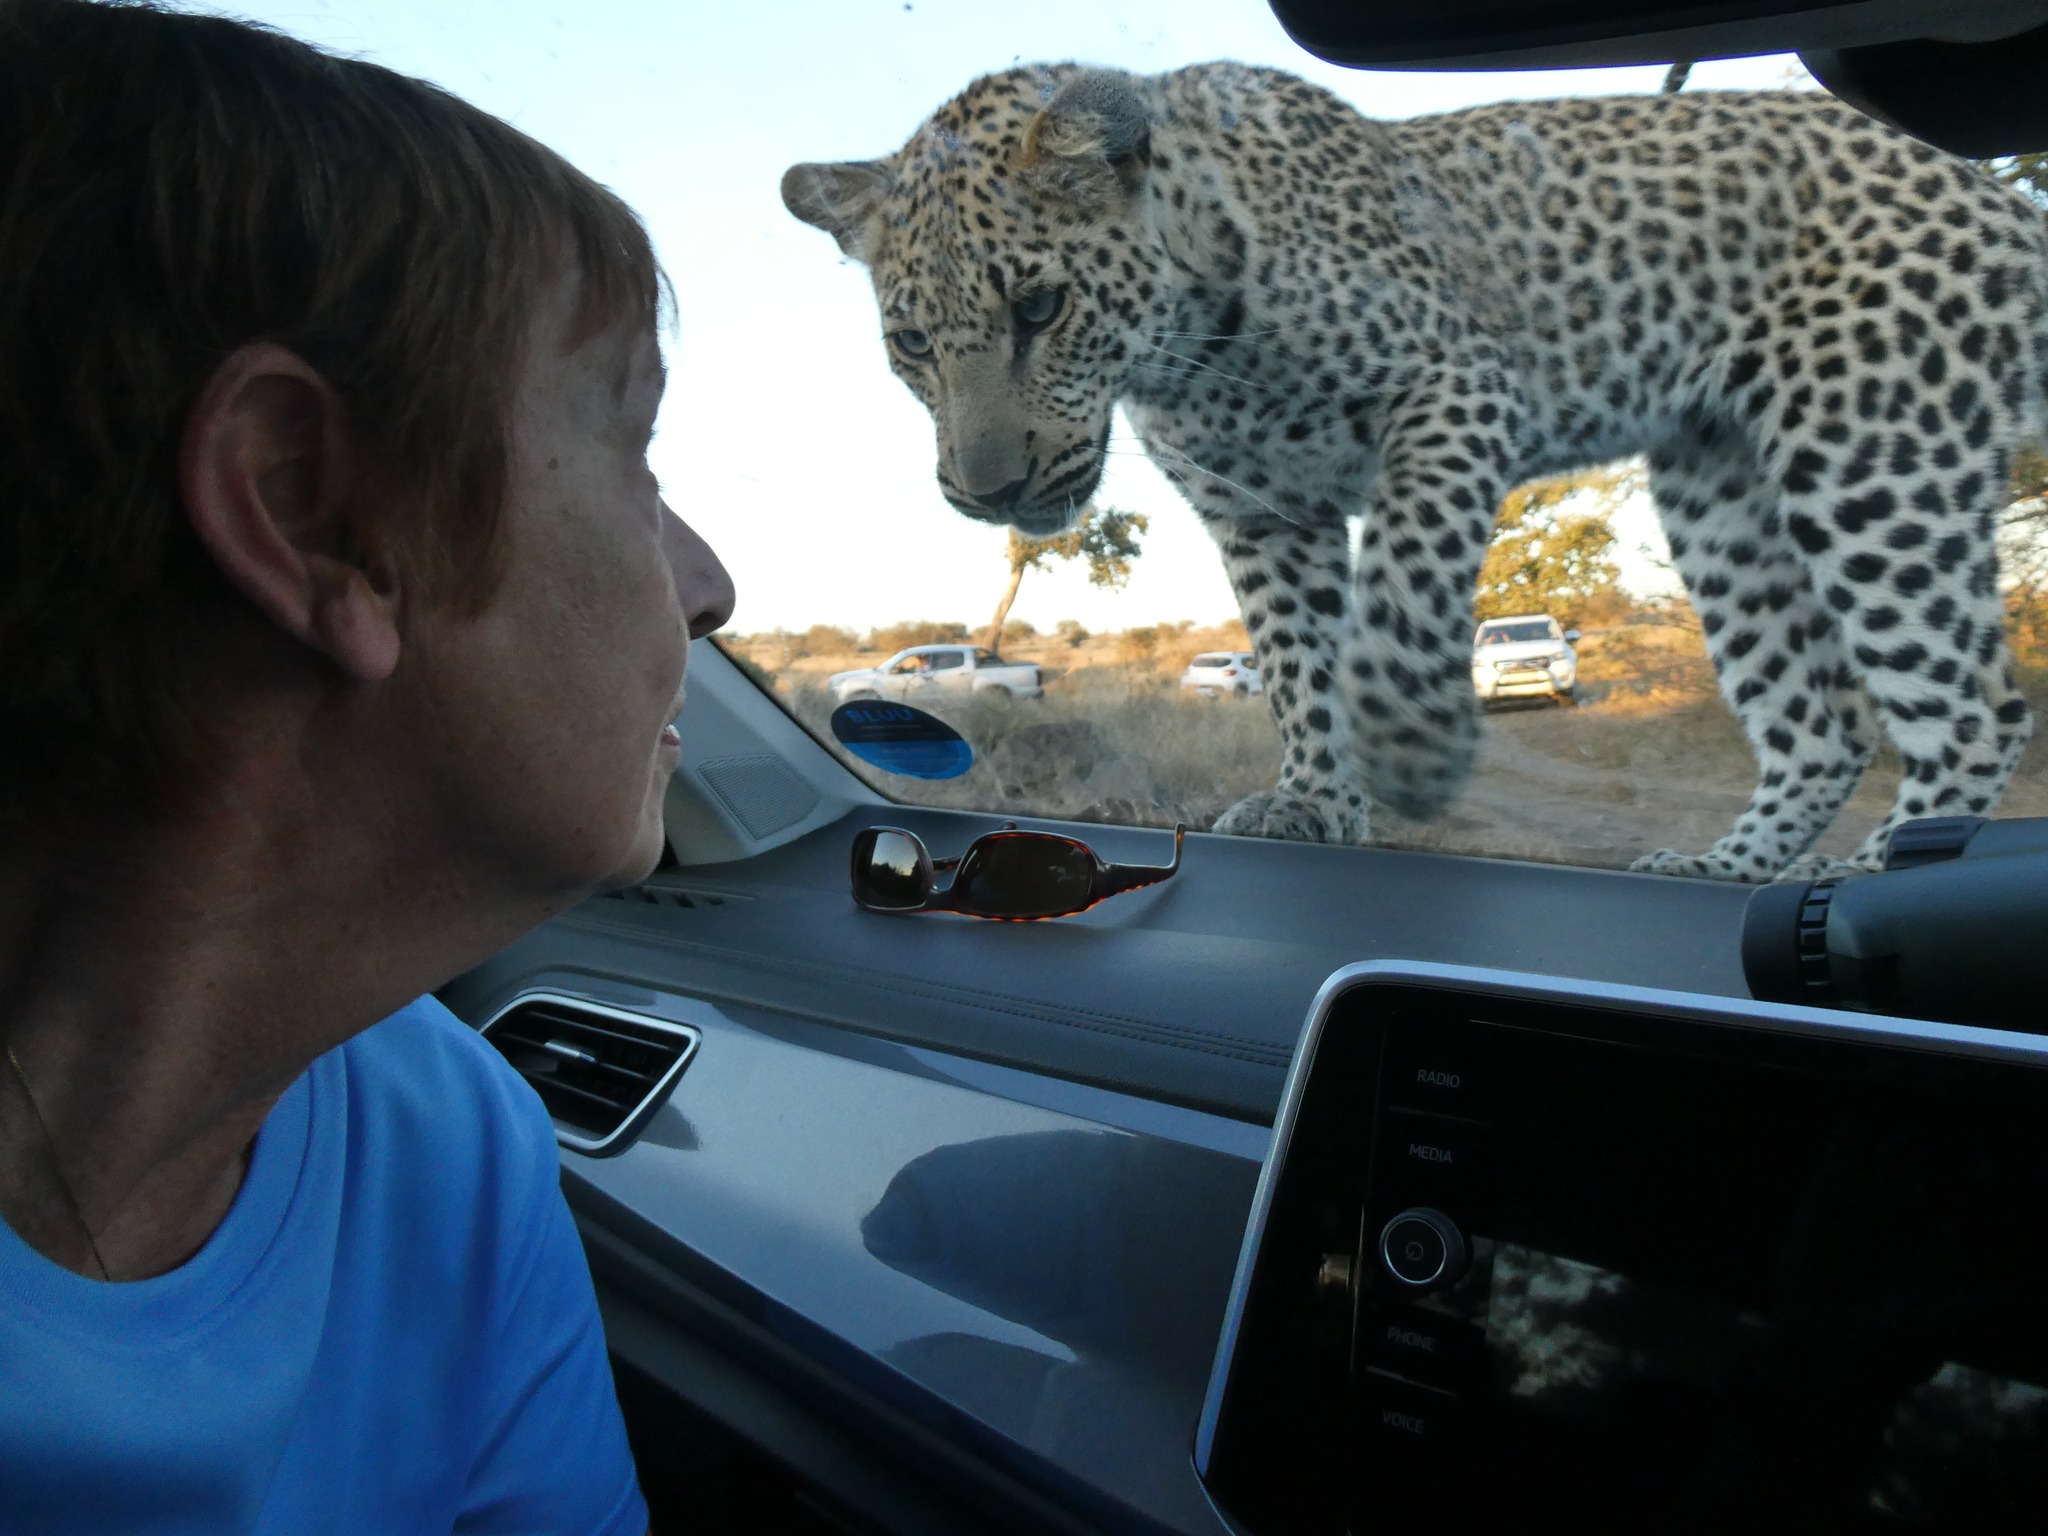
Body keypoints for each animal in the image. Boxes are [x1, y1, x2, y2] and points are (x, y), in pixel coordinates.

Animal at [783, 62, 2048, 880]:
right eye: (909, 343)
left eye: (1040, 307)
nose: (986, 491)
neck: (1188, 344)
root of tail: (1988, 189)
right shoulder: (1261, 510)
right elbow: (1294, 656)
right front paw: (1310, 800)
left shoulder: (1450, 391)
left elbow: (1400, 583)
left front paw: (1412, 753)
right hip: (1718, 494)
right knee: (1819, 723)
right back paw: (1720, 869)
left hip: (1867, 454)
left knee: (1973, 710)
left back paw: (1878, 876)